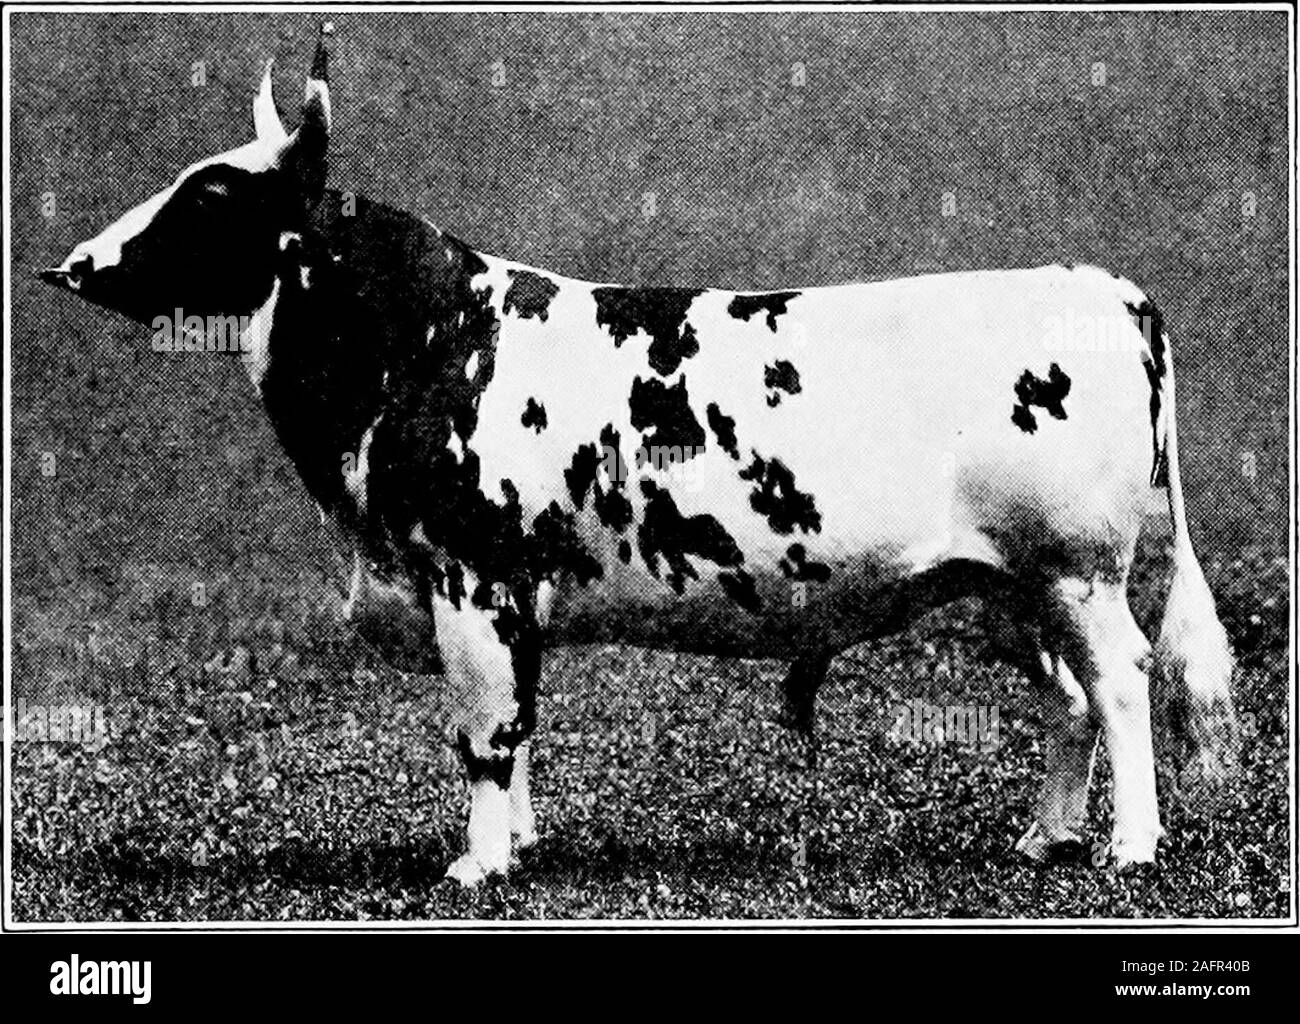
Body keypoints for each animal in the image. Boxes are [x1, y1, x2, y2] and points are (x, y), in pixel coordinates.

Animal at [38, 25, 1236, 887]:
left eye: (212, 195)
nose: (71, 264)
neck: (426, 339)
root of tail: (1100, 284)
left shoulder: (471, 576)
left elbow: (485, 730)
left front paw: (475, 866)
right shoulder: (499, 593)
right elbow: (516, 725)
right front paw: (519, 847)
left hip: (1078, 570)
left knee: (1121, 683)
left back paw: (1128, 847)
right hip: (1009, 583)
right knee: (1067, 700)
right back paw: (1045, 839)